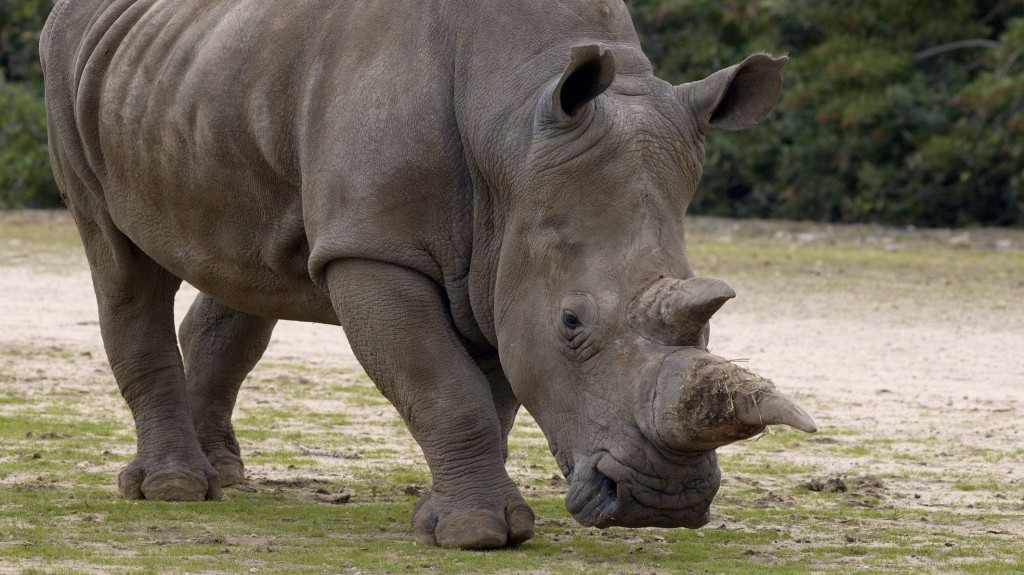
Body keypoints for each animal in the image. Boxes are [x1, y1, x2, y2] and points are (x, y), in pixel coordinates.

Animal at [41, 0, 816, 549]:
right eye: (572, 324)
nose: (663, 502)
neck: (512, 120)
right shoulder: (374, 246)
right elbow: (448, 387)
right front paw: (475, 534)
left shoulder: (499, 256)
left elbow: (490, 389)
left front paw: (471, 518)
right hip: (69, 76)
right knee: (120, 265)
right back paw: (173, 489)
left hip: (204, 74)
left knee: (245, 270)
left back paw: (224, 477)